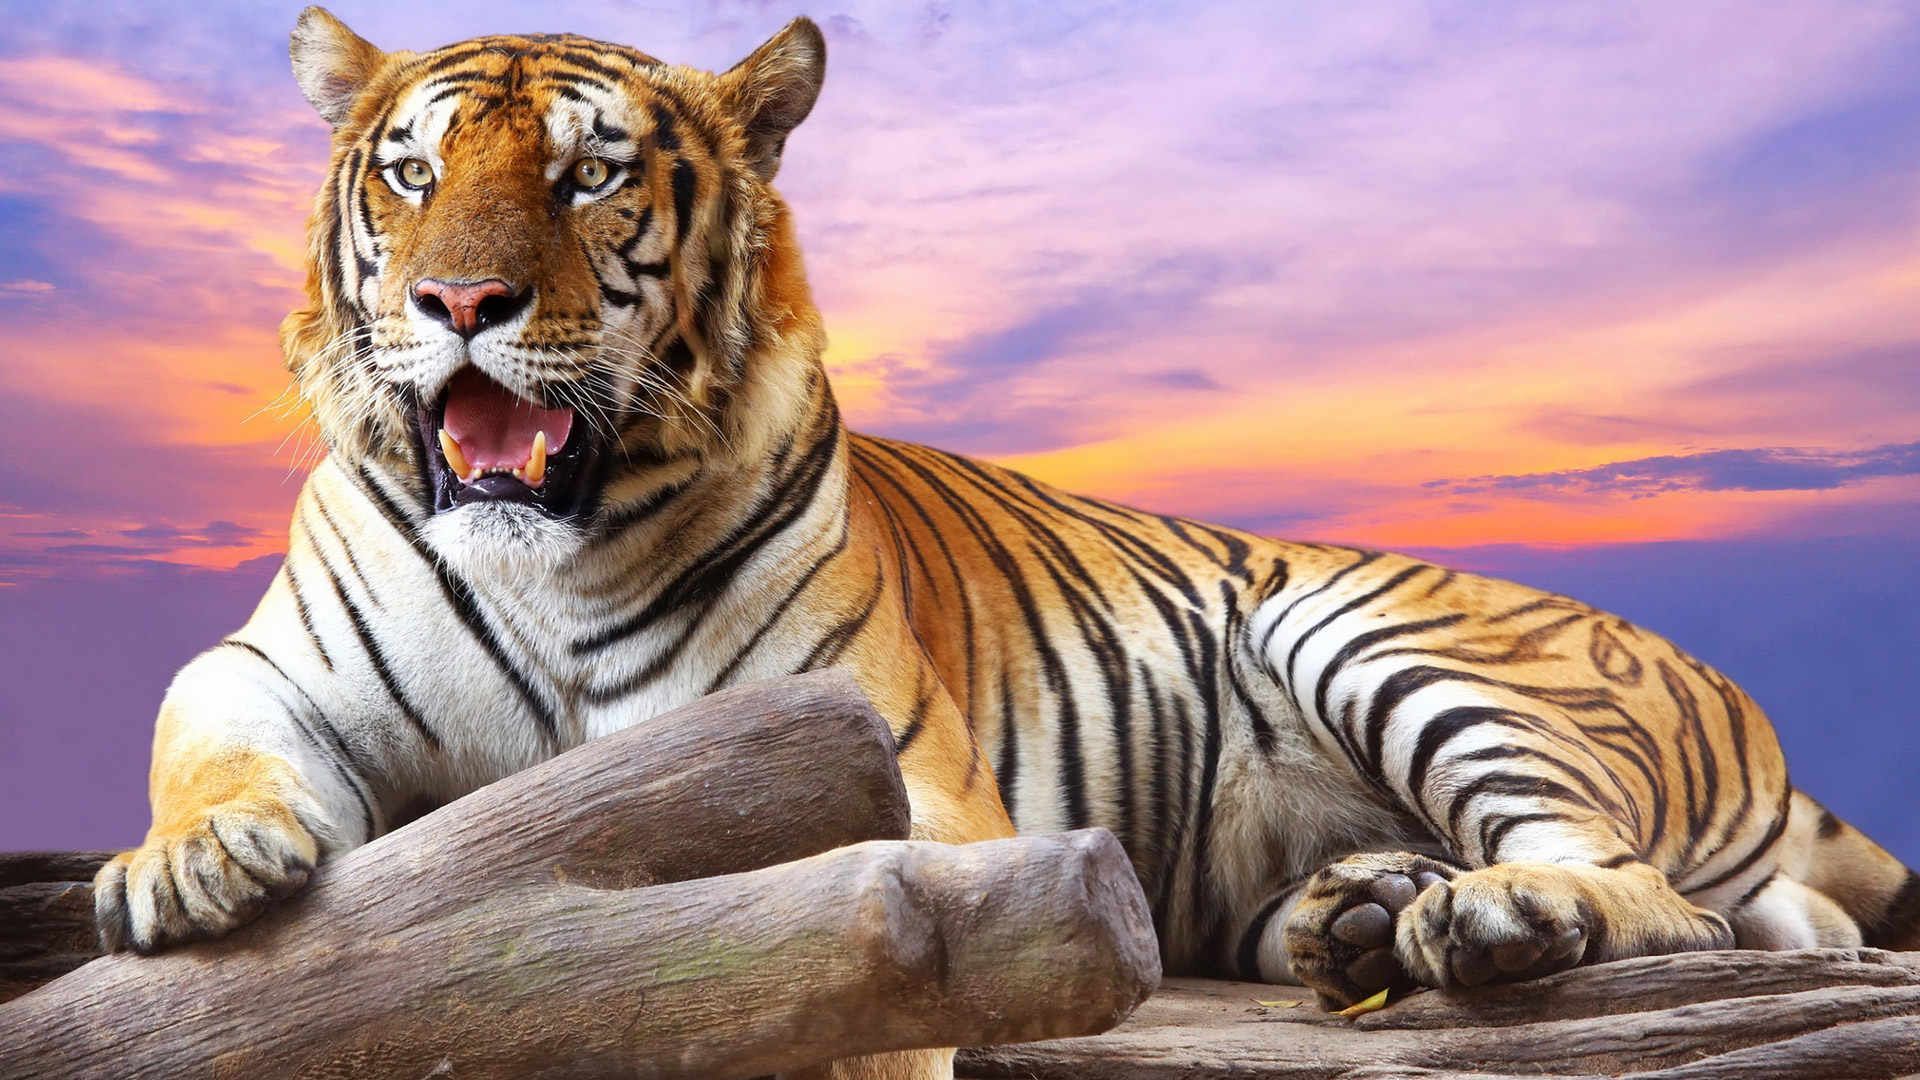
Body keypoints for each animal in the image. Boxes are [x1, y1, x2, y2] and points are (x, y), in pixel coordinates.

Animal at [95, 7, 1919, 1079]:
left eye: (589, 175)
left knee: (1663, 901)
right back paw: (1359, 915)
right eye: (410, 175)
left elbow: (854, 959)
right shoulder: (275, 660)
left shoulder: (888, 780)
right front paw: (193, 867)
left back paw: (1487, 922)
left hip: (1378, 635)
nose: (456, 303)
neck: (541, 545)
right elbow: (209, 732)